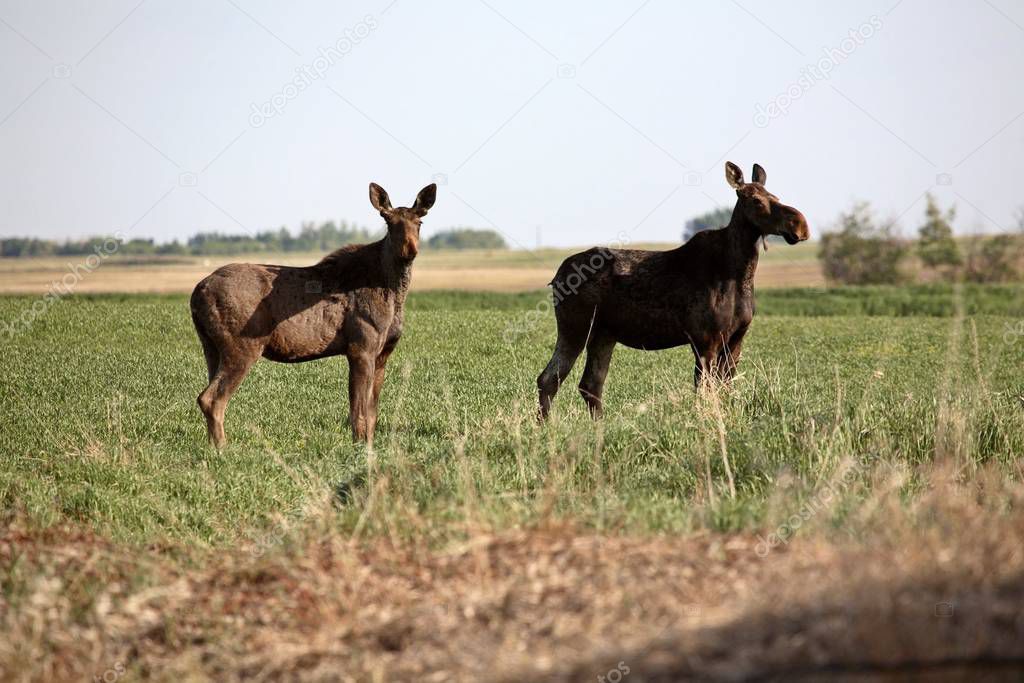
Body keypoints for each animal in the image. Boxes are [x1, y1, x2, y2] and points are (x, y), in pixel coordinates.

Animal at [190, 182, 437, 448]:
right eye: (388, 222)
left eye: (419, 222)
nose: (410, 249)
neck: (395, 297)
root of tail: (196, 294)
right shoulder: (361, 347)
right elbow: (358, 411)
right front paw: (360, 447)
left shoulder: (383, 352)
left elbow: (372, 413)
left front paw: (369, 446)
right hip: (242, 346)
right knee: (211, 399)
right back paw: (223, 449)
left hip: (211, 346)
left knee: (208, 395)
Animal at [537, 162, 809, 419]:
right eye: (756, 200)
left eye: (775, 196)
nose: (800, 225)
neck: (741, 272)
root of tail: (557, 277)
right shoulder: (705, 339)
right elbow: (705, 391)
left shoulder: (736, 339)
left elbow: (724, 390)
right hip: (577, 328)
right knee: (549, 379)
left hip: (604, 334)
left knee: (590, 384)